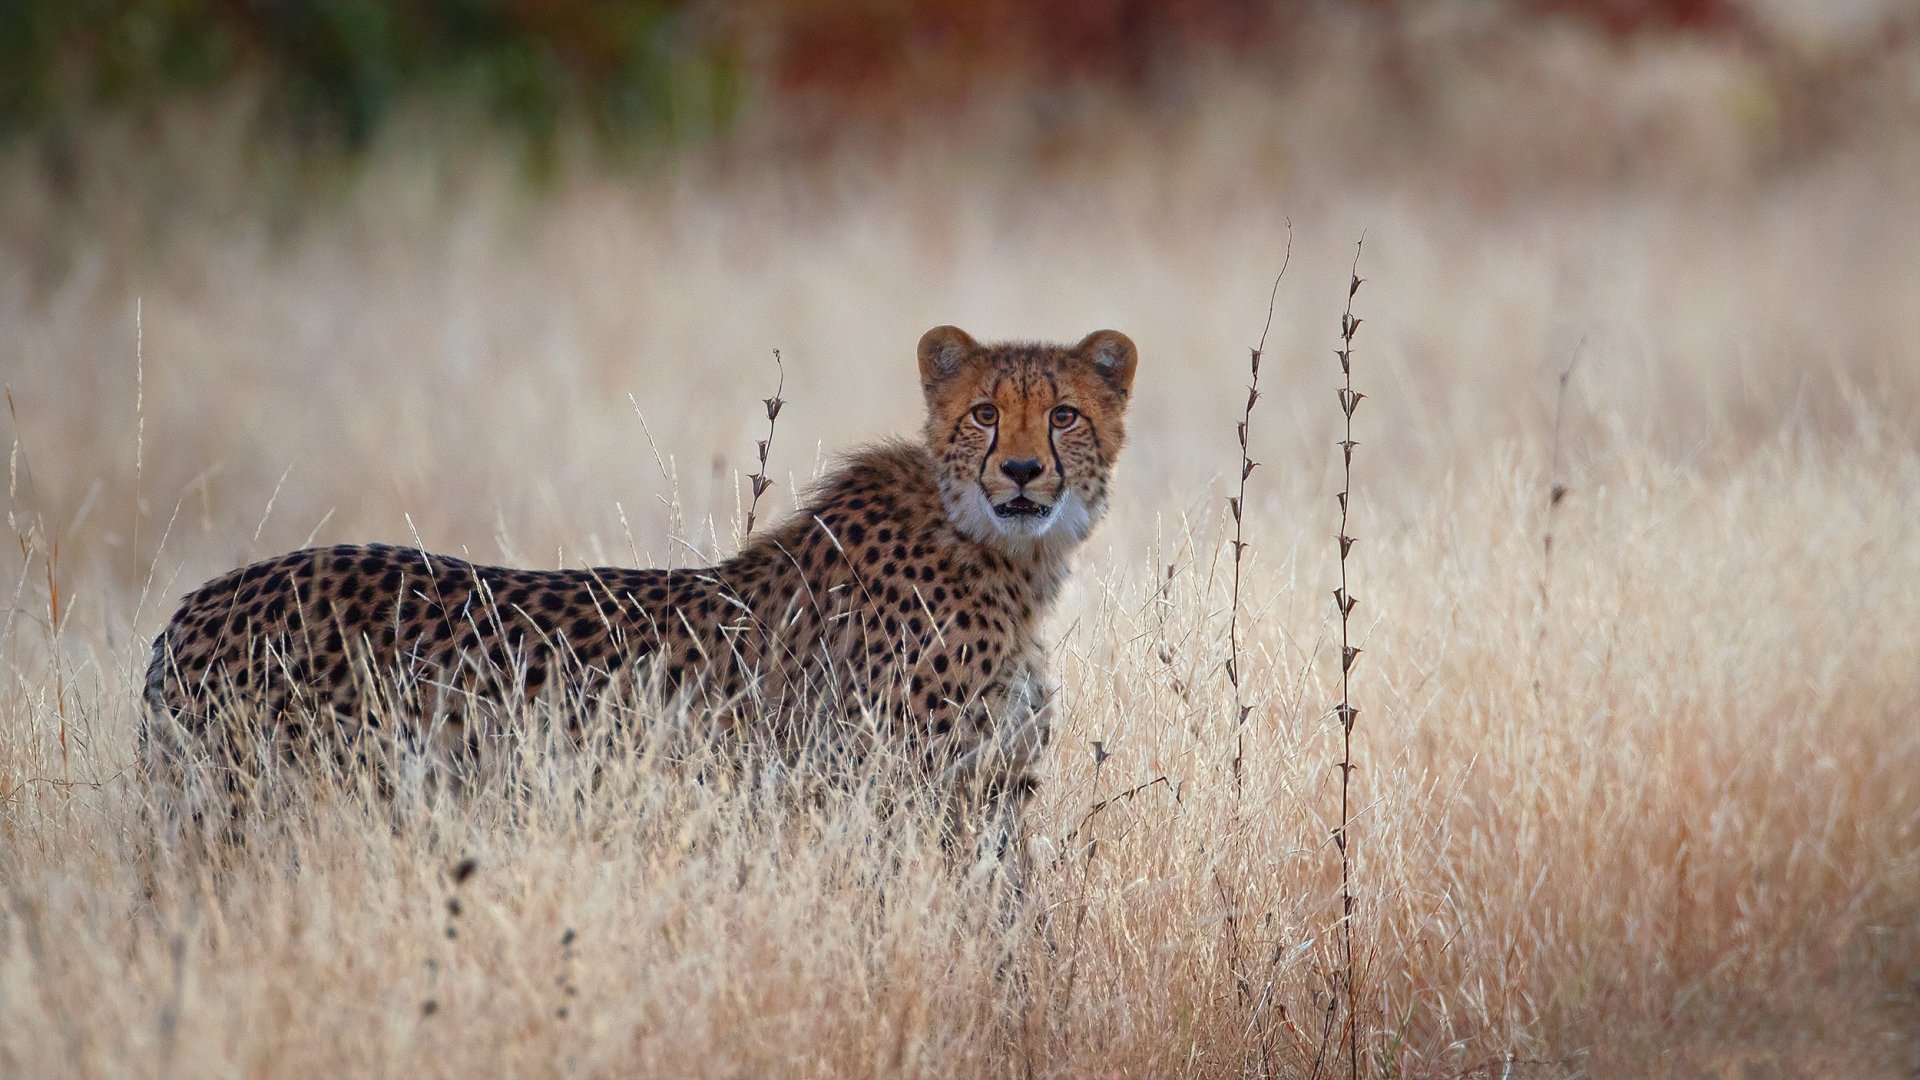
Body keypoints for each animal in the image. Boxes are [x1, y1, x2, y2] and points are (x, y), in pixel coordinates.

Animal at [141, 325, 1138, 883]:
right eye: (983, 413)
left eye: (1063, 415)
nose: (1022, 472)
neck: (1002, 557)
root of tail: (195, 606)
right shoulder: (897, 808)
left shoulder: (986, 801)